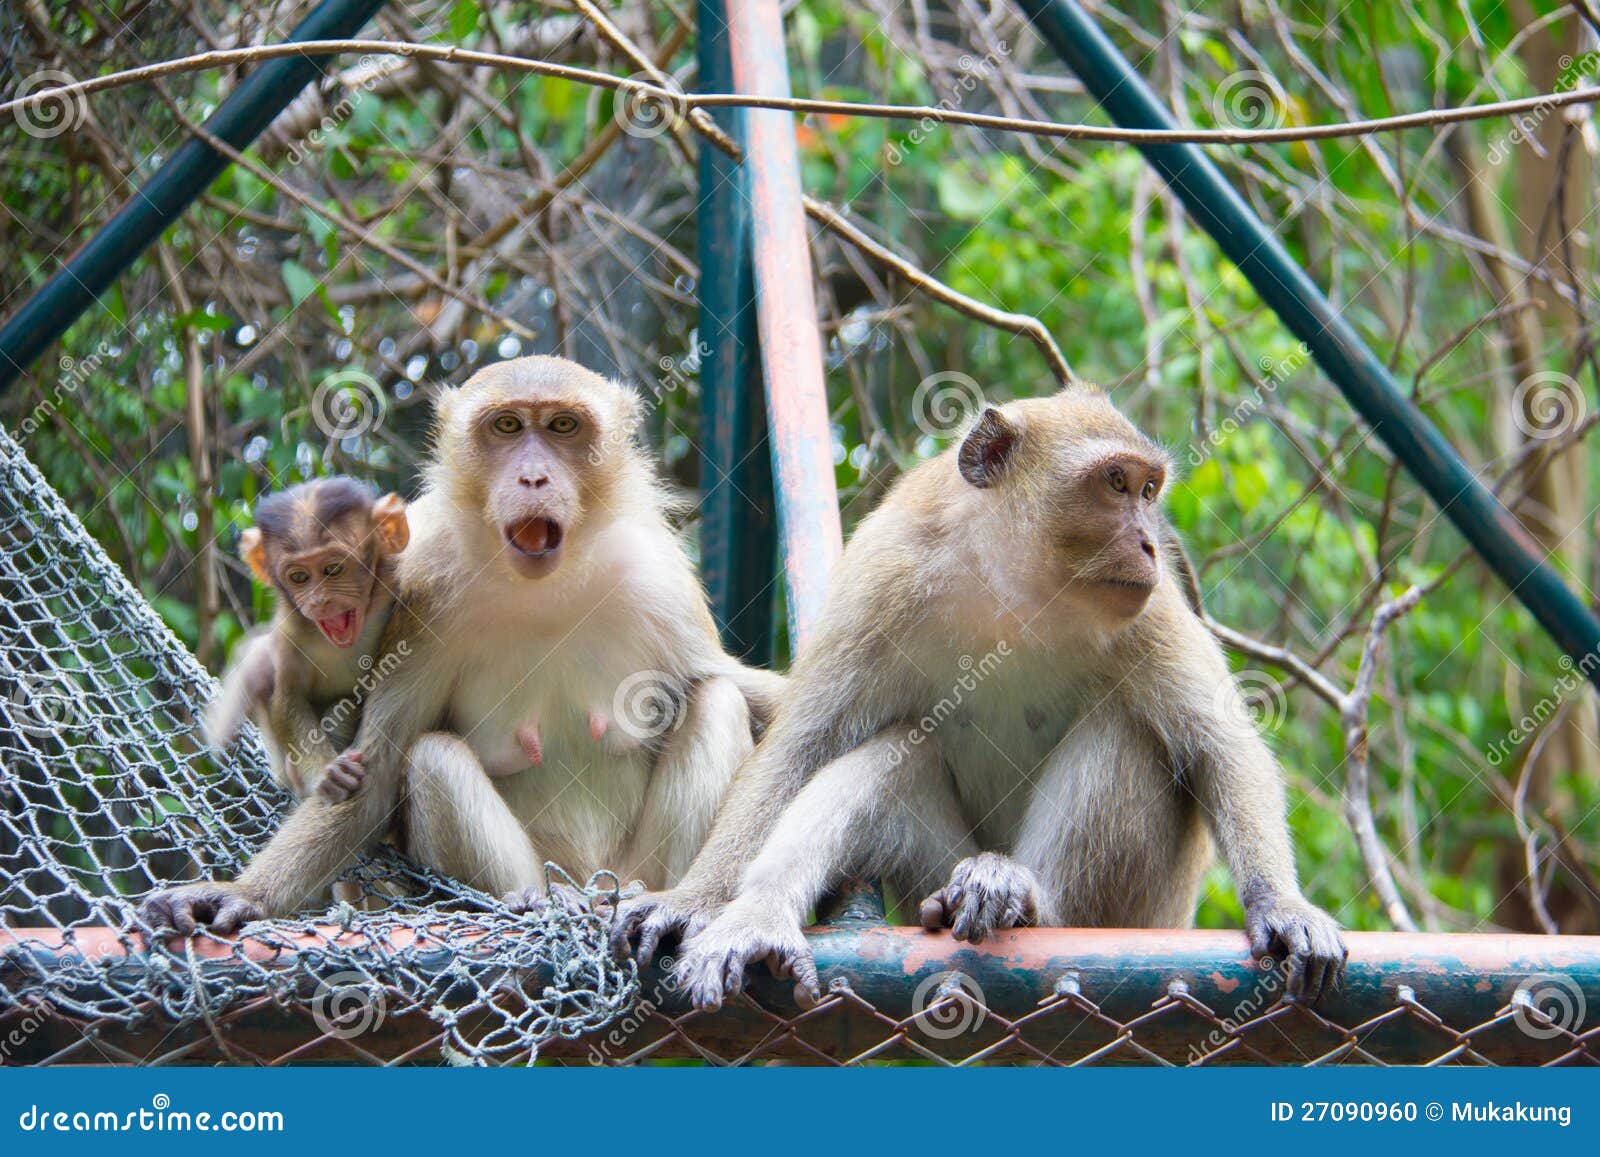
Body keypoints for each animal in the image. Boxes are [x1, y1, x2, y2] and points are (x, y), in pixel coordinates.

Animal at [203, 479, 410, 804]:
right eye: (299, 577)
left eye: (333, 569)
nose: (319, 601)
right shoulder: (289, 634)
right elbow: (289, 700)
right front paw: (326, 774)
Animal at [616, 384, 1347, 1007]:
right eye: (1115, 483)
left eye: (1148, 489)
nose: (1148, 543)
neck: (1013, 587)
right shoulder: (883, 576)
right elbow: (800, 750)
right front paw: (697, 898)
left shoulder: (1153, 609)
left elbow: (1220, 745)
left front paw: (1283, 906)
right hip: (932, 876)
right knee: (896, 754)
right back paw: (765, 917)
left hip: (1142, 911)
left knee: (1125, 730)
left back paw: (1026, 899)